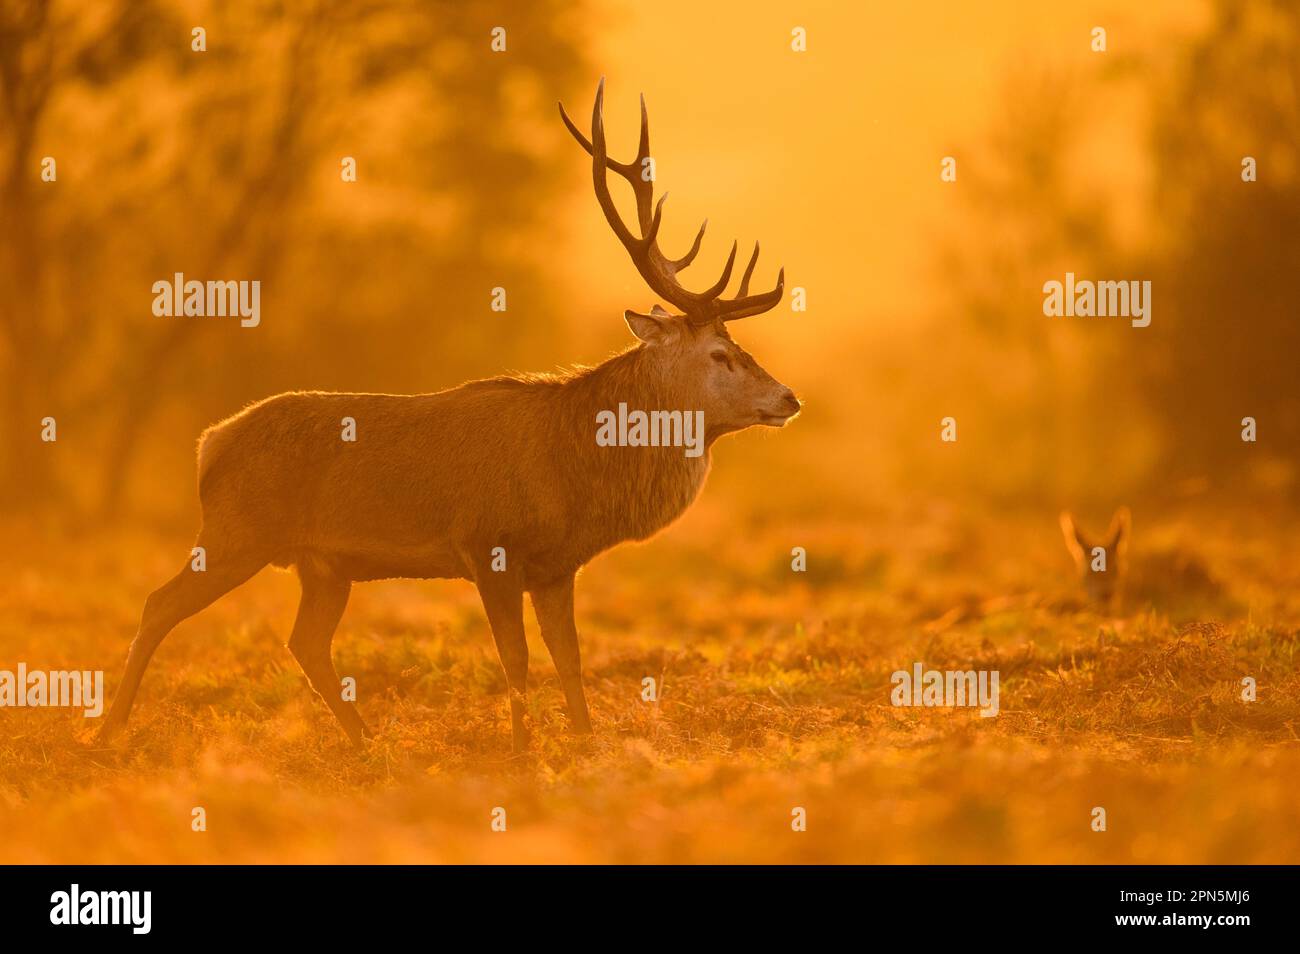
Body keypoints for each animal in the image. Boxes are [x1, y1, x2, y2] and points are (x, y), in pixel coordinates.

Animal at [97, 79, 800, 753]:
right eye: (720, 354)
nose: (789, 397)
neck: (577, 476)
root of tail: (210, 443)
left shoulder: (555, 566)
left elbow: (569, 659)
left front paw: (585, 741)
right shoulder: (488, 543)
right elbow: (515, 658)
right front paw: (521, 751)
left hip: (322, 564)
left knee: (305, 642)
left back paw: (366, 741)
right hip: (235, 531)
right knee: (158, 605)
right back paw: (108, 733)